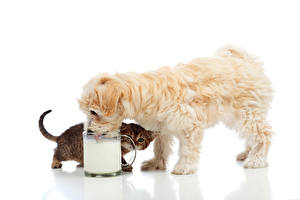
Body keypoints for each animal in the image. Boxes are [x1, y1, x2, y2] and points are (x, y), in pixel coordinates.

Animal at [78, 45, 274, 175]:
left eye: (93, 112)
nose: (89, 131)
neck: (146, 92)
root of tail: (249, 62)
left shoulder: (191, 125)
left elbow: (187, 149)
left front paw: (184, 167)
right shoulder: (162, 127)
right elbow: (160, 147)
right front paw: (156, 164)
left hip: (246, 113)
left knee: (263, 134)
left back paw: (256, 159)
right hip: (238, 115)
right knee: (252, 135)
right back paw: (248, 153)